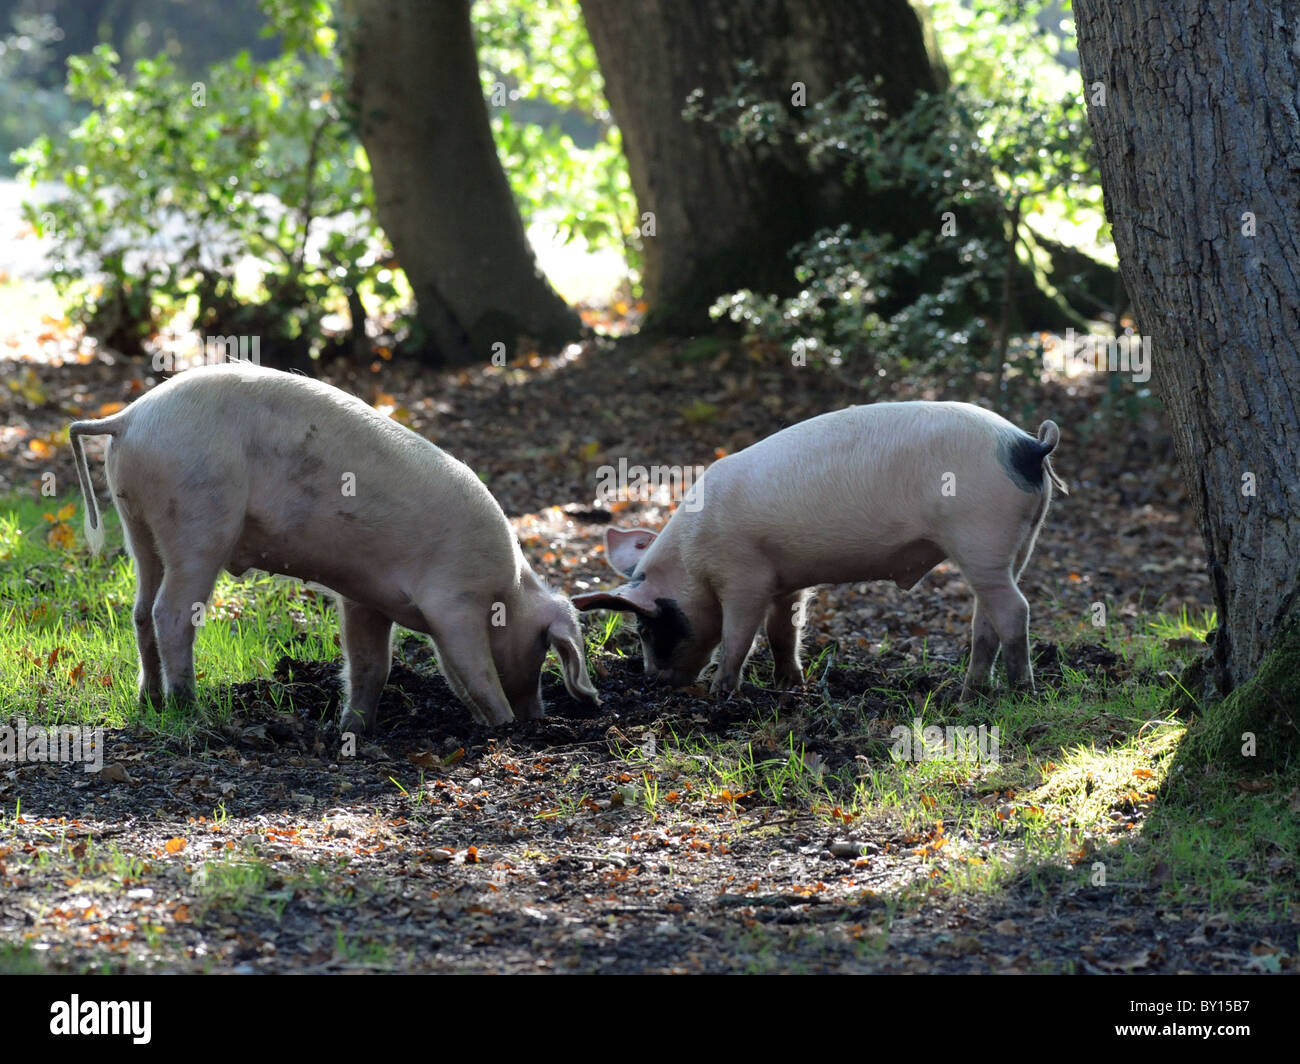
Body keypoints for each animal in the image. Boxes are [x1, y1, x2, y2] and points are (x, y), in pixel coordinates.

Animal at [68, 361, 598, 731]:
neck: (508, 589)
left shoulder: (366, 598)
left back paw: (151, 703)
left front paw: (353, 730)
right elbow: (475, 670)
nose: (538, 719)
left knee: (140, 610)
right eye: (544, 648)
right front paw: (504, 728)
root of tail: (129, 417)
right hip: (198, 523)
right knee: (171, 614)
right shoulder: (455, 601)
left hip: (138, 523)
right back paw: (190, 711)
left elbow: (372, 665)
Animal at [573, 401, 1067, 700]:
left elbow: (738, 637)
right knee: (987, 616)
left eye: (644, 629)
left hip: (979, 535)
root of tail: (1028, 446)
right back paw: (968, 694)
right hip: (1016, 544)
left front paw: (721, 694)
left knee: (1015, 611)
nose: (653, 682)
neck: (692, 563)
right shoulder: (784, 581)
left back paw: (1021, 692)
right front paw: (792, 685)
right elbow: (782, 632)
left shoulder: (744, 577)